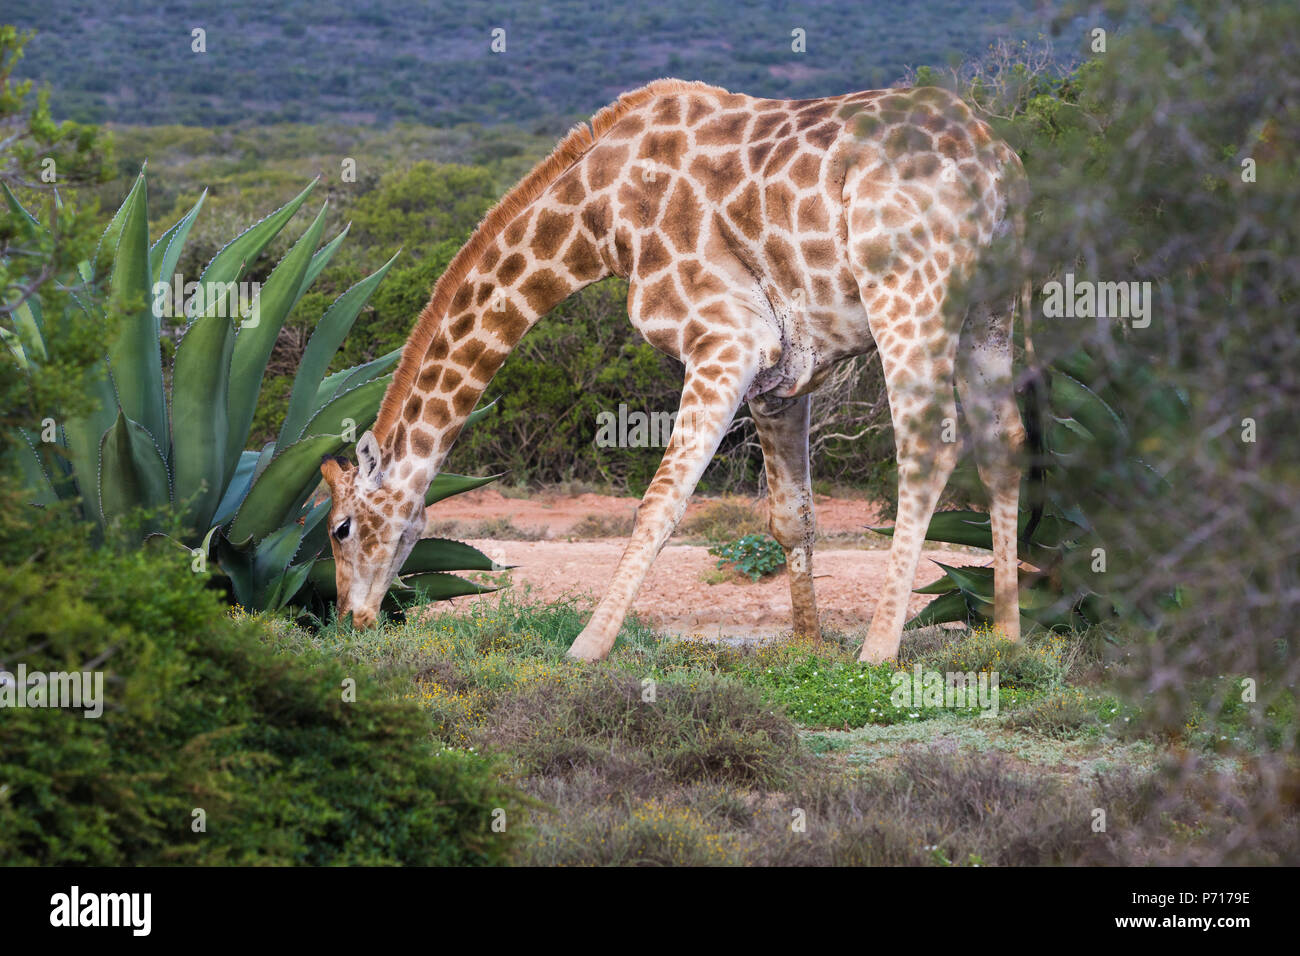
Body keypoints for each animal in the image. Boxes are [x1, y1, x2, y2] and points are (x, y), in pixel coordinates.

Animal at [319, 78, 1030, 664]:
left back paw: (880, 649)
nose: (354, 620)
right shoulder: (781, 374)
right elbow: (790, 514)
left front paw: (587, 646)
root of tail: (996, 161)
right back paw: (1007, 635)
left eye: (340, 528)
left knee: (928, 446)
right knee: (1005, 441)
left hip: (907, 292)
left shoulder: (727, 339)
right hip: (991, 308)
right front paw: (807, 643)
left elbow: (660, 502)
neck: (598, 219)